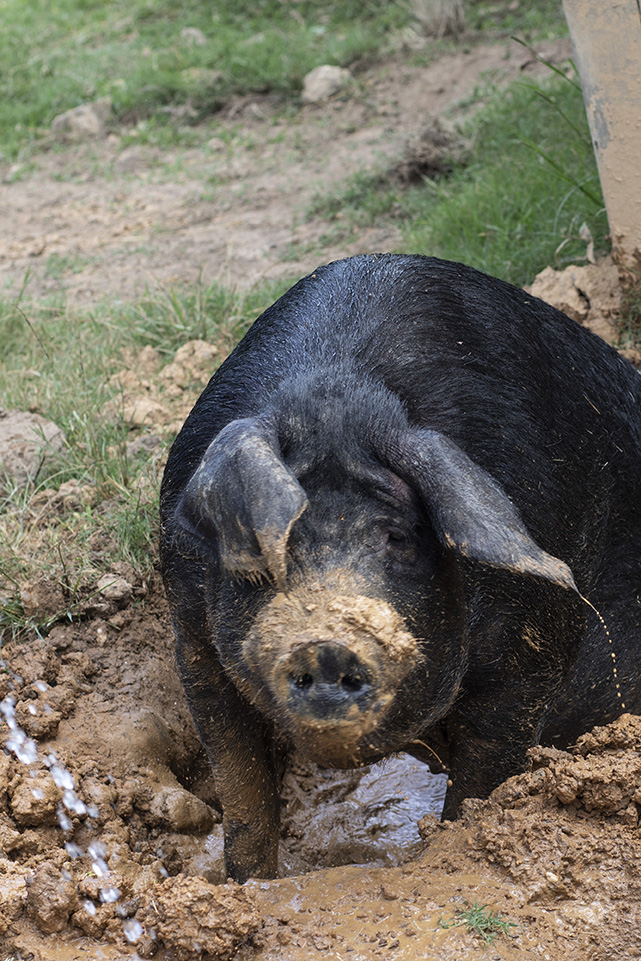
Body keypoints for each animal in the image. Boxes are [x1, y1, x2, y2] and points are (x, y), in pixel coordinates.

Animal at [159, 253, 641, 883]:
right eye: (276, 545)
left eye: (398, 538)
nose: (326, 642)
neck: (338, 397)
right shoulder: (193, 639)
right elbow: (241, 788)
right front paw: (247, 883)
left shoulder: (534, 658)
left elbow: (482, 785)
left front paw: (450, 847)